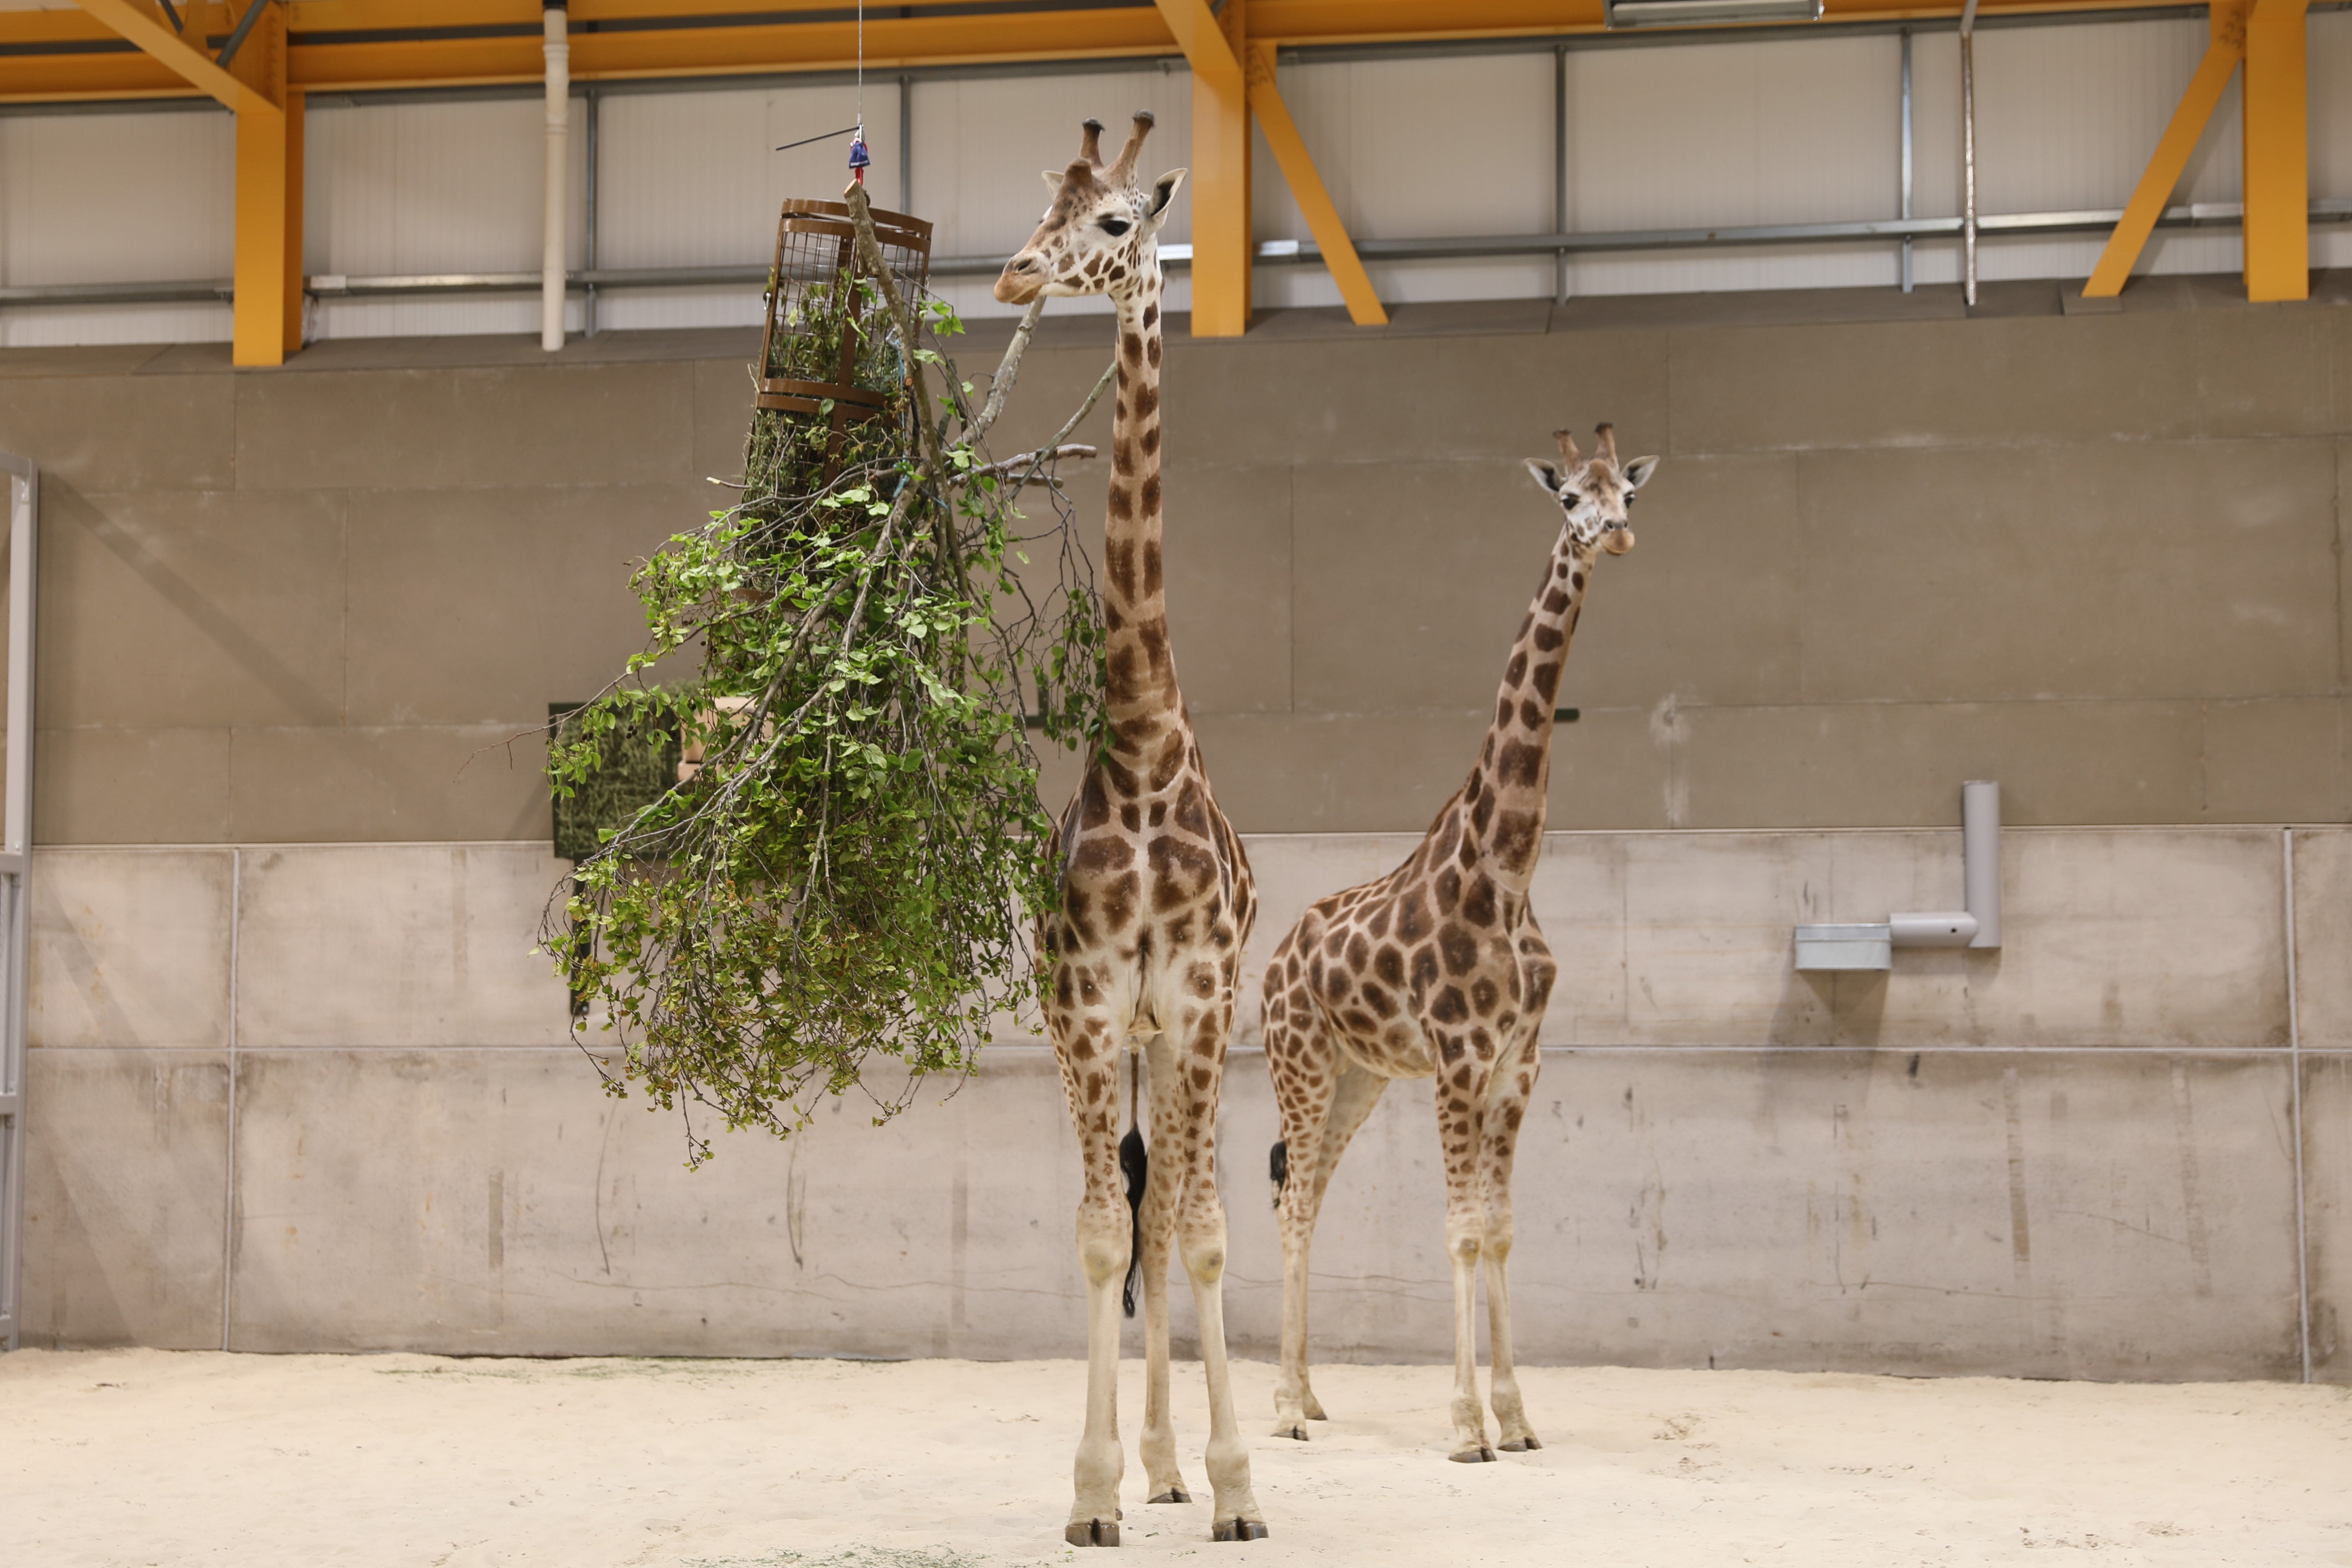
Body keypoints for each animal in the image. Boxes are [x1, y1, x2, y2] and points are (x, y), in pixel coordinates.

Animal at [1258, 424, 1658, 1463]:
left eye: (1629, 492)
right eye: (1568, 497)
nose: (1616, 537)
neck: (1509, 866)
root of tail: (1272, 959)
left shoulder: (1519, 1061)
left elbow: (1502, 1227)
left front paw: (1516, 1417)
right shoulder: (1458, 1057)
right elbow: (1460, 1228)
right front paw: (1466, 1423)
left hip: (1357, 1075)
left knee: (1306, 1191)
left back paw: (1309, 1394)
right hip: (1299, 1059)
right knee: (1291, 1198)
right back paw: (1281, 1408)